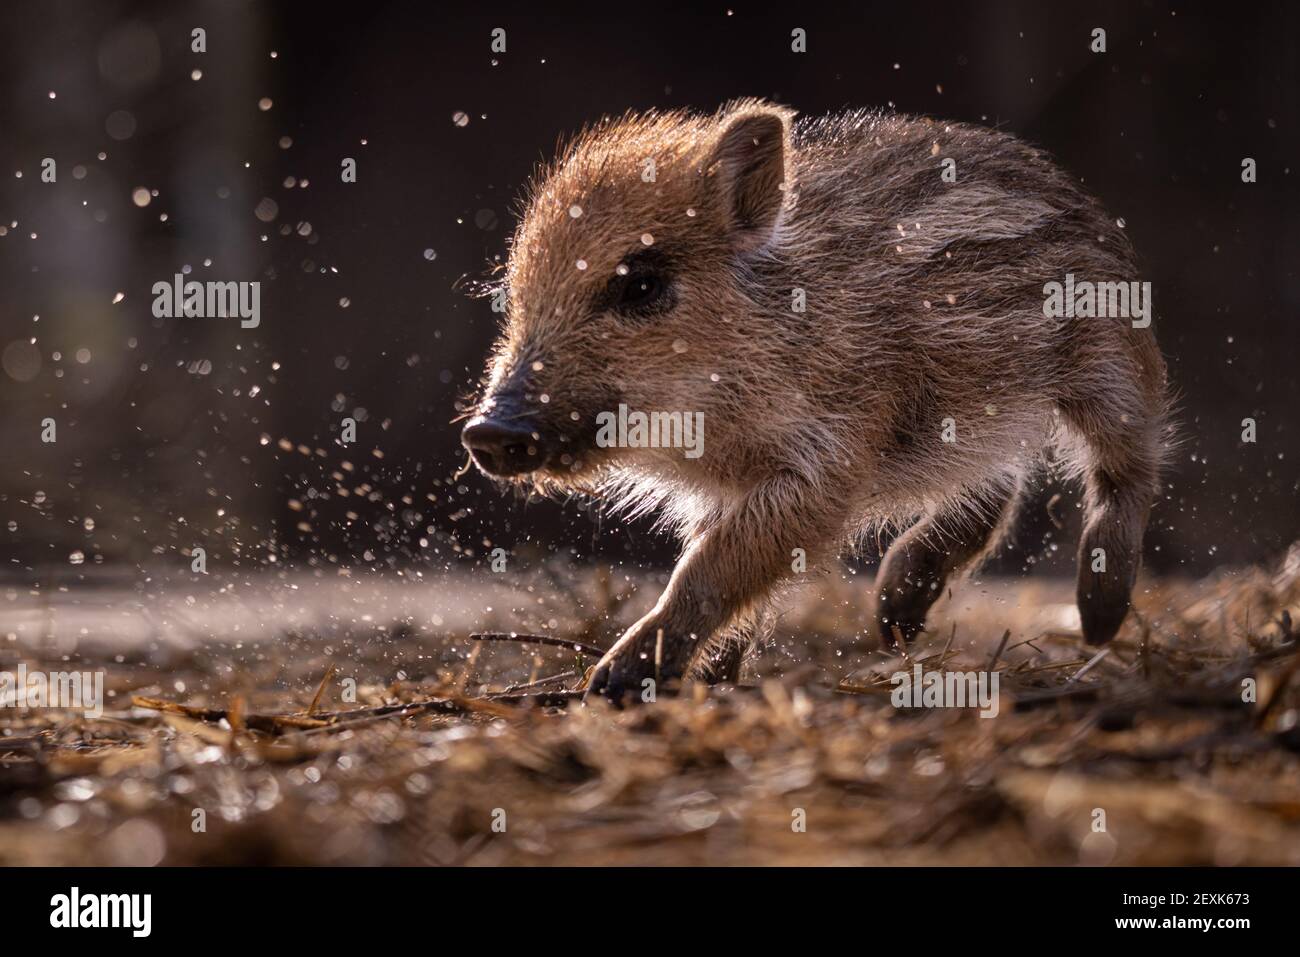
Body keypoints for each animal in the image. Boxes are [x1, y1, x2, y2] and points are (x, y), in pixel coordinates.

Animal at [460, 100, 1171, 703]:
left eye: (640, 284)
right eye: (518, 290)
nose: (486, 433)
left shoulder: (826, 464)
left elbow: (715, 565)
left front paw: (610, 684)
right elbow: (724, 560)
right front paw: (713, 678)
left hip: (1111, 363)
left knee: (1129, 465)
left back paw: (1098, 620)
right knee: (999, 482)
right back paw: (895, 622)